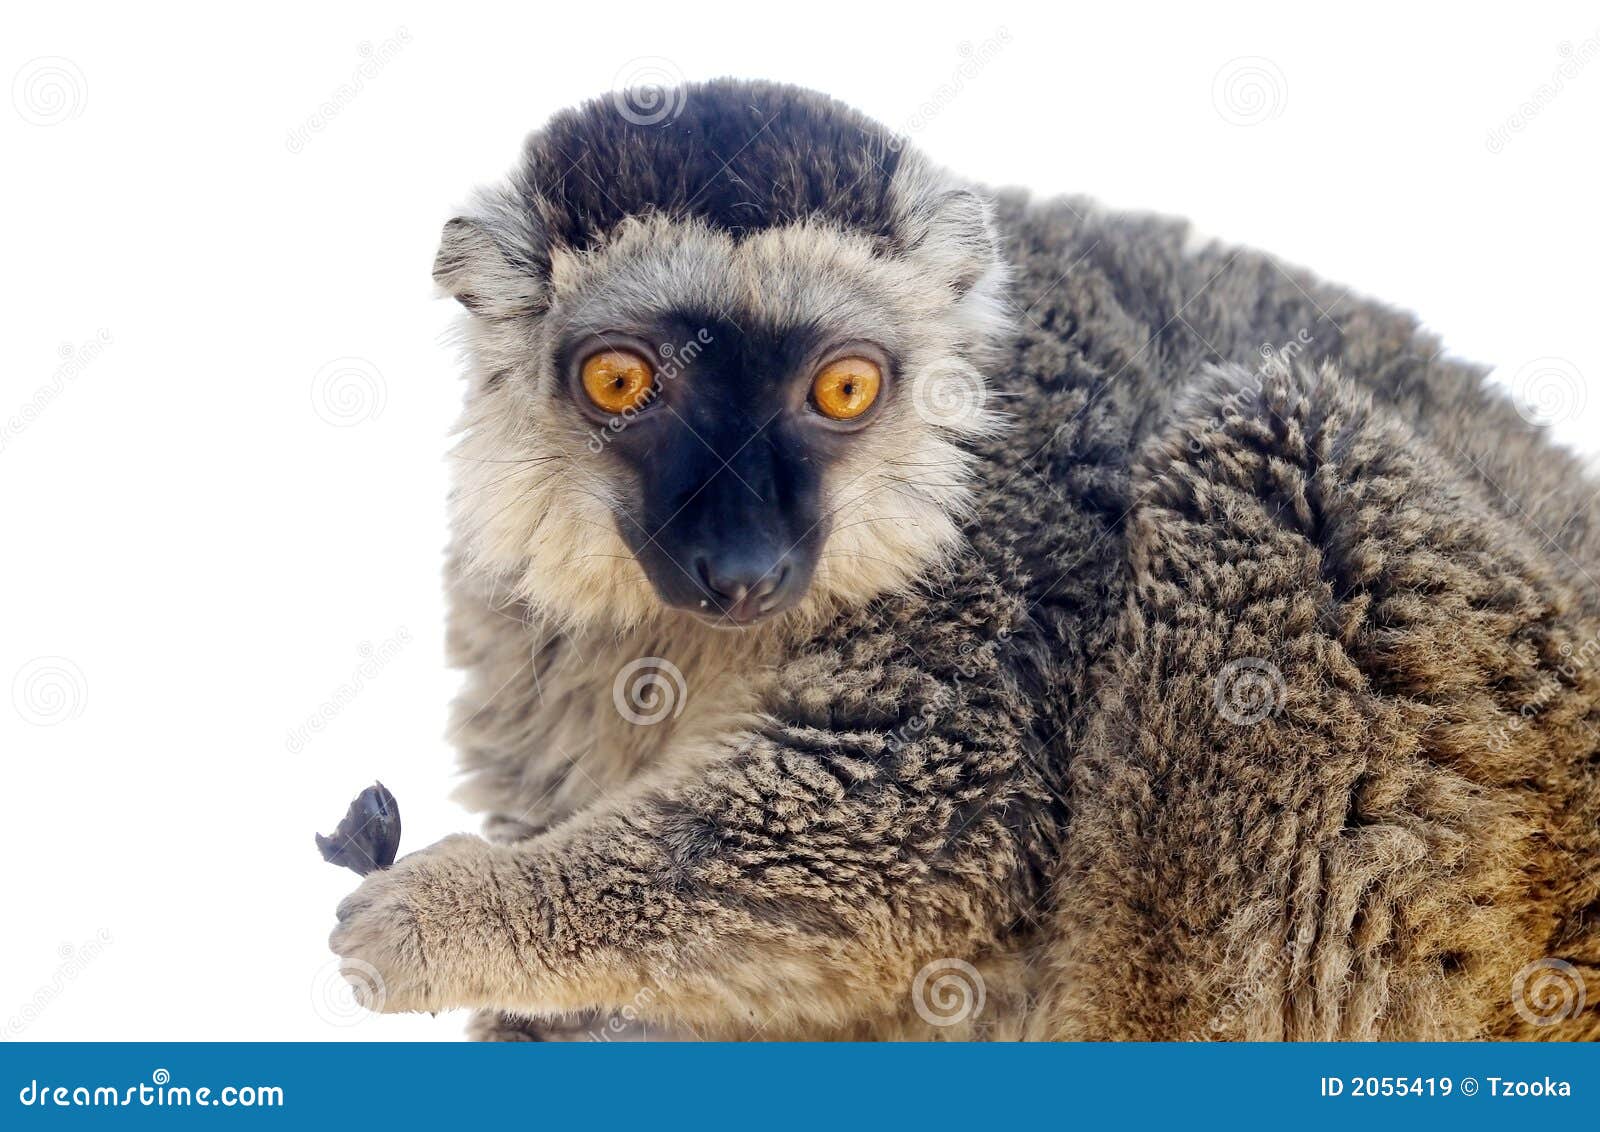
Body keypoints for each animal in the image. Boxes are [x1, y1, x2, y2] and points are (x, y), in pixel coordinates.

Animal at [329, 79, 1600, 1040]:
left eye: (844, 389)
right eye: (619, 381)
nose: (740, 562)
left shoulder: (1015, 554)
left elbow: (919, 813)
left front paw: (455, 914)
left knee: (1269, 446)